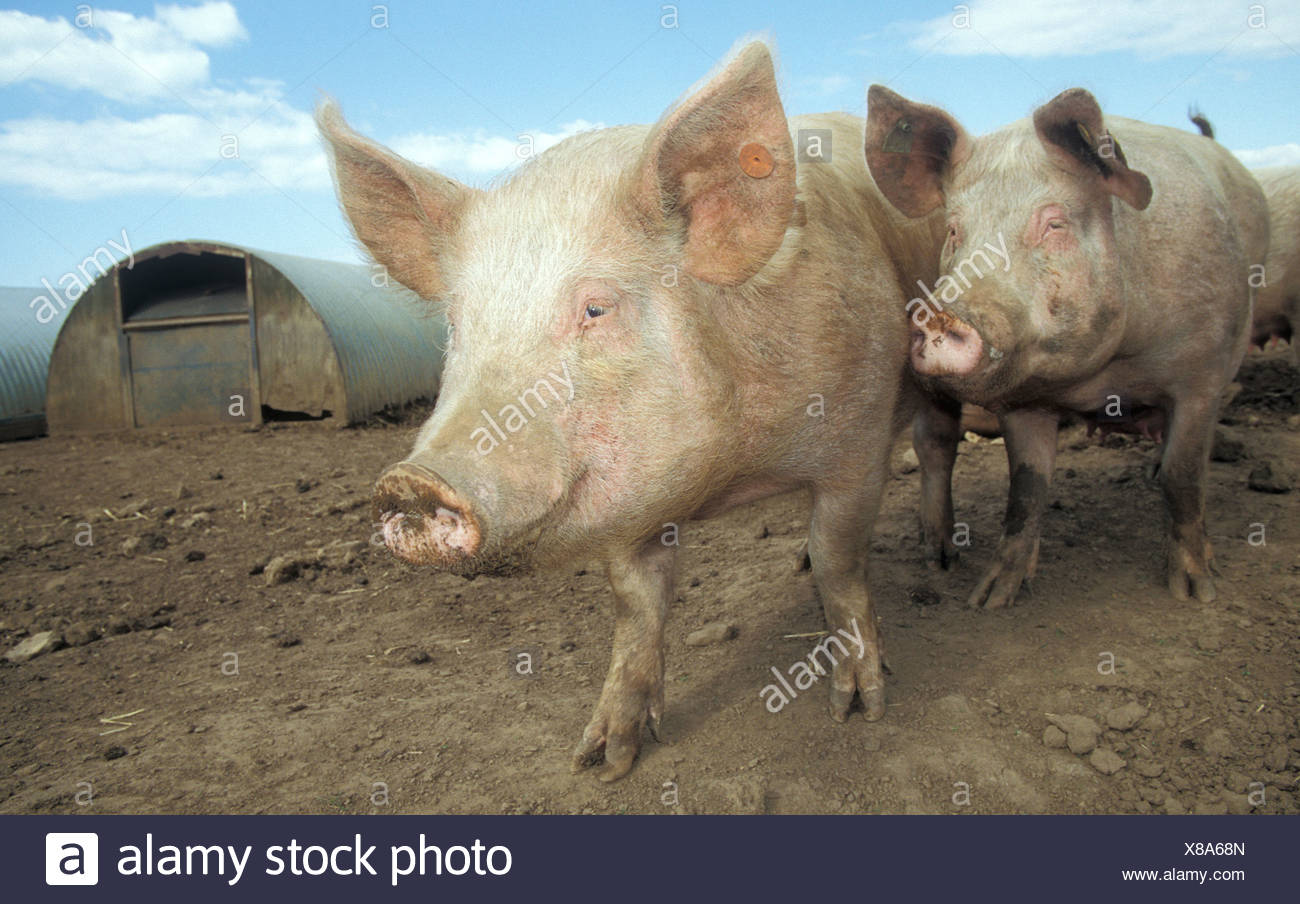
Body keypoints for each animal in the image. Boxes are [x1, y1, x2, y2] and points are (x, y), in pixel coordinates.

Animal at [318, 42, 950, 781]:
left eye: (596, 308)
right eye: (455, 321)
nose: (411, 484)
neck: (735, 473)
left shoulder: (858, 441)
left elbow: (839, 559)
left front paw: (858, 709)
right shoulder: (631, 501)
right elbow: (635, 603)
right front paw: (603, 759)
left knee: (936, 449)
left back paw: (939, 553)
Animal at [865, 85, 1269, 608]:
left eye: (1054, 225)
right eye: (954, 230)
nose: (938, 313)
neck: (1107, 374)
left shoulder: (1201, 370)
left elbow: (1183, 476)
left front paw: (1196, 592)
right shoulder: (1023, 403)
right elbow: (1026, 488)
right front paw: (990, 598)